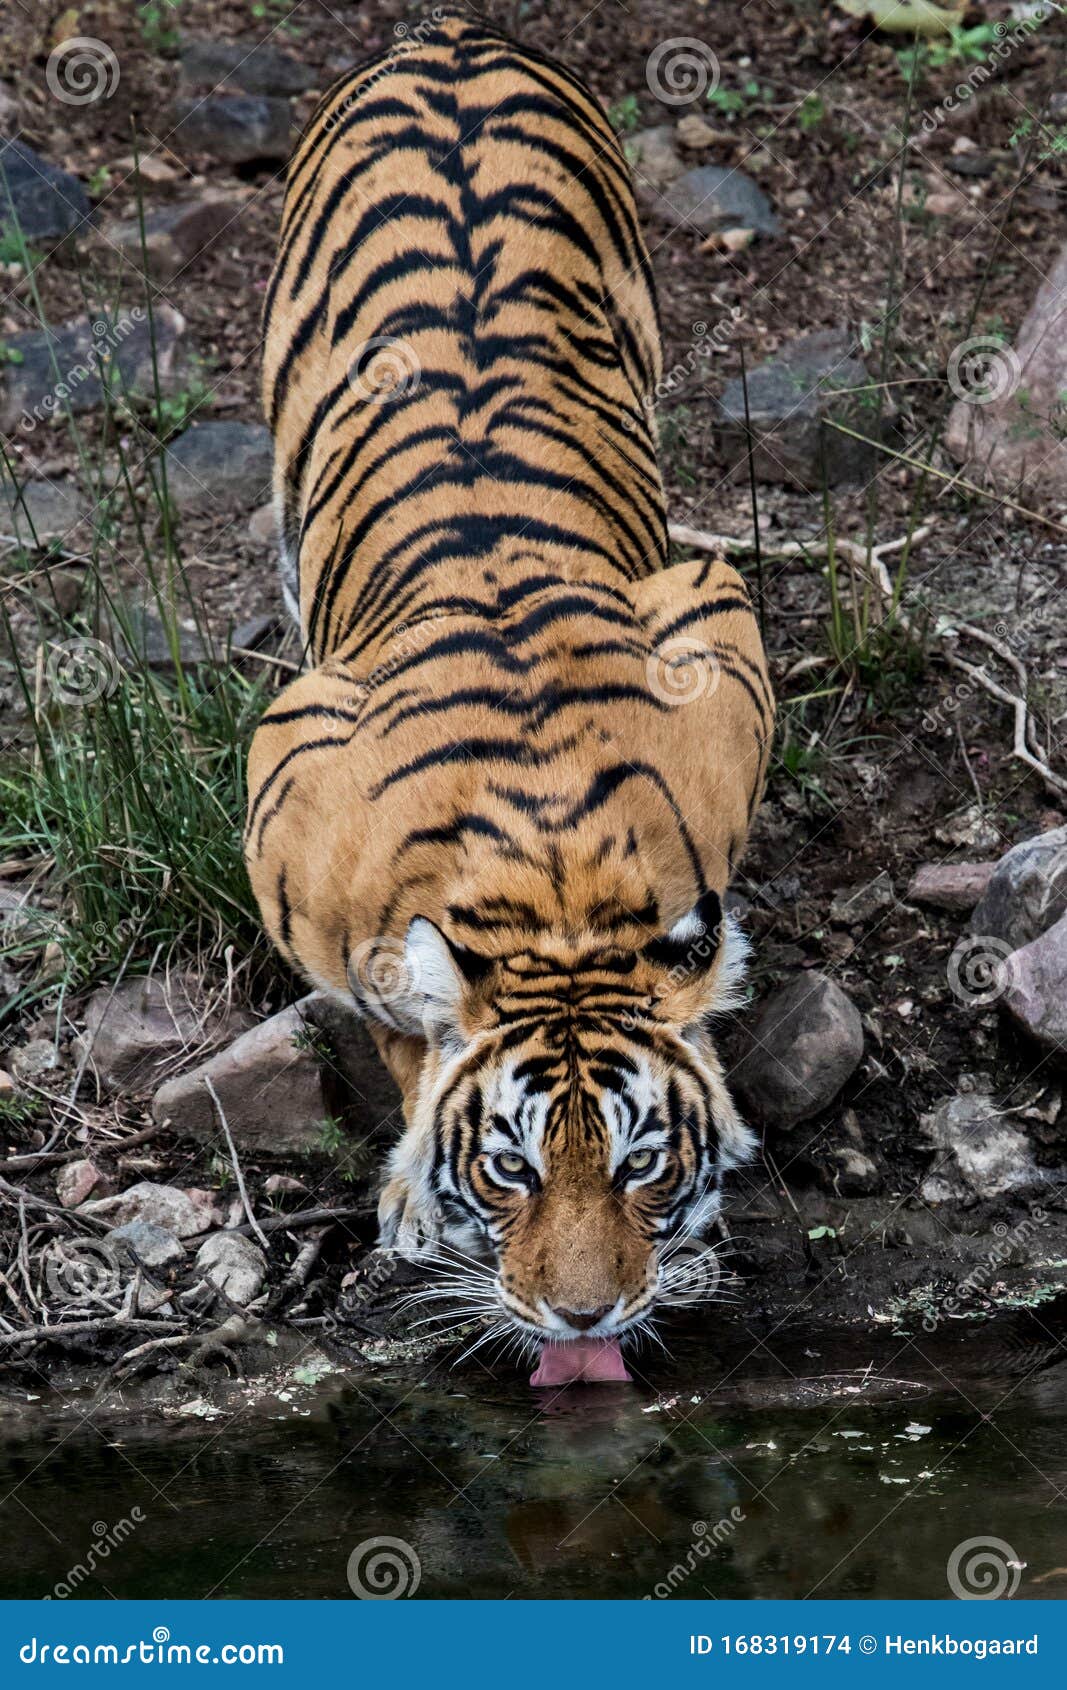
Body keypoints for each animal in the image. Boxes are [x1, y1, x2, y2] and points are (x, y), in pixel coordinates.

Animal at [247, 4, 774, 1374]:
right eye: (508, 1171)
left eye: (642, 1166)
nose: (585, 1317)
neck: (554, 893)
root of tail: (446, 32)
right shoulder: (285, 762)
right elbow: (394, 1031)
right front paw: (404, 1199)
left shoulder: (710, 619)